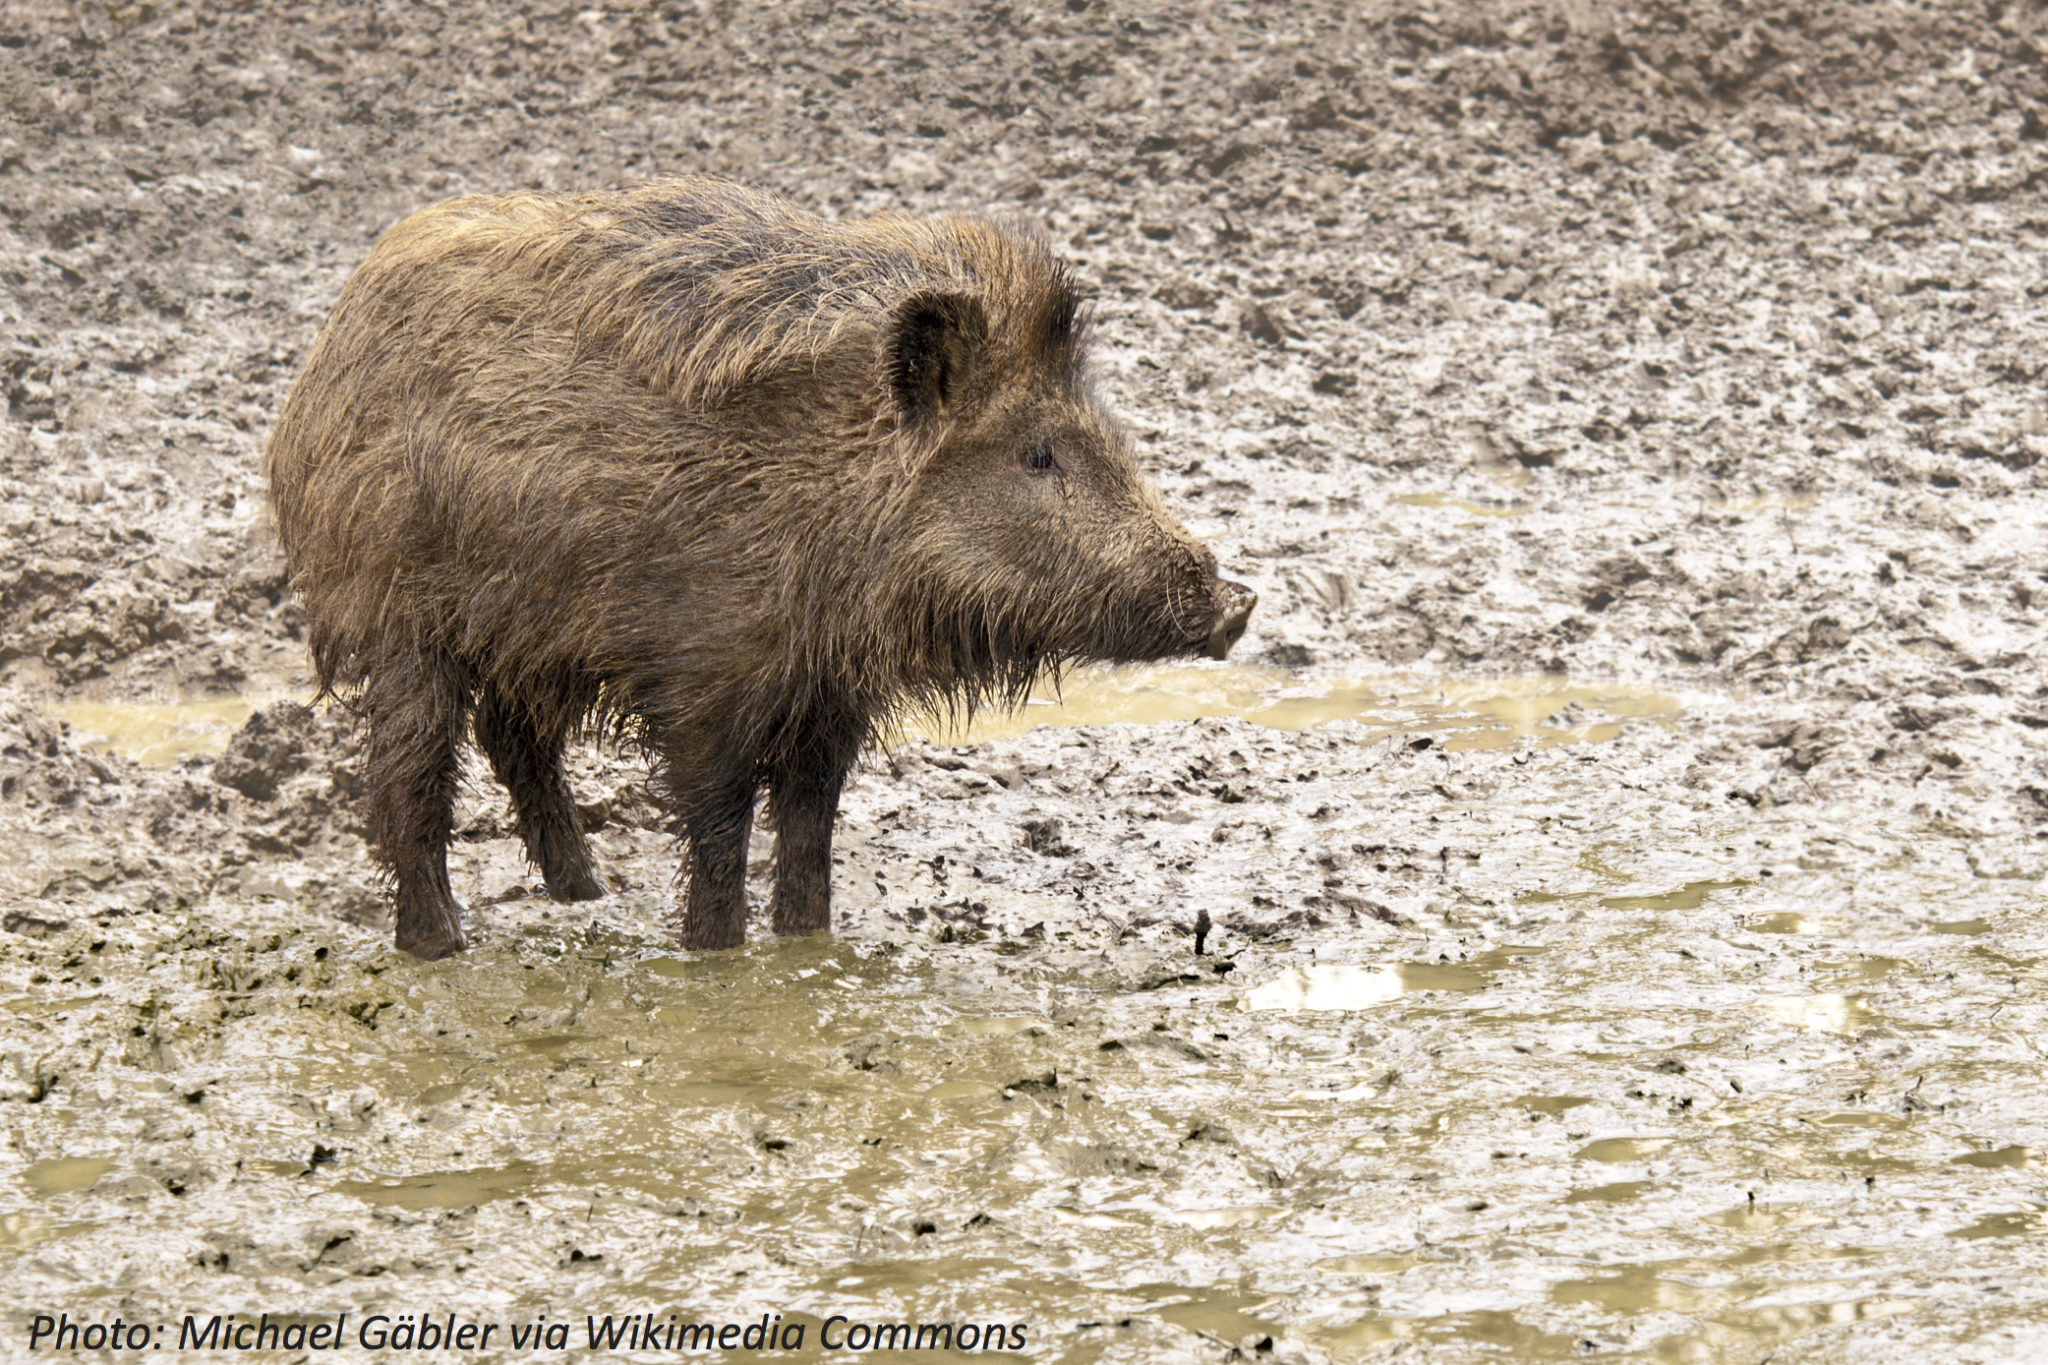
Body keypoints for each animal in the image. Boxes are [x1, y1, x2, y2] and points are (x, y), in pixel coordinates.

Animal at [265, 176, 1254, 958]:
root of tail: (326, 352)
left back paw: (587, 894)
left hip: (526, 631)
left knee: (514, 739)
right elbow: (719, 826)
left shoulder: (828, 698)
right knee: (410, 775)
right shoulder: (706, 677)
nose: (1235, 601)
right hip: (400, 612)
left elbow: (811, 825)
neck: (831, 495)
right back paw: (439, 946)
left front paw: (807, 944)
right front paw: (717, 958)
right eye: (1037, 454)